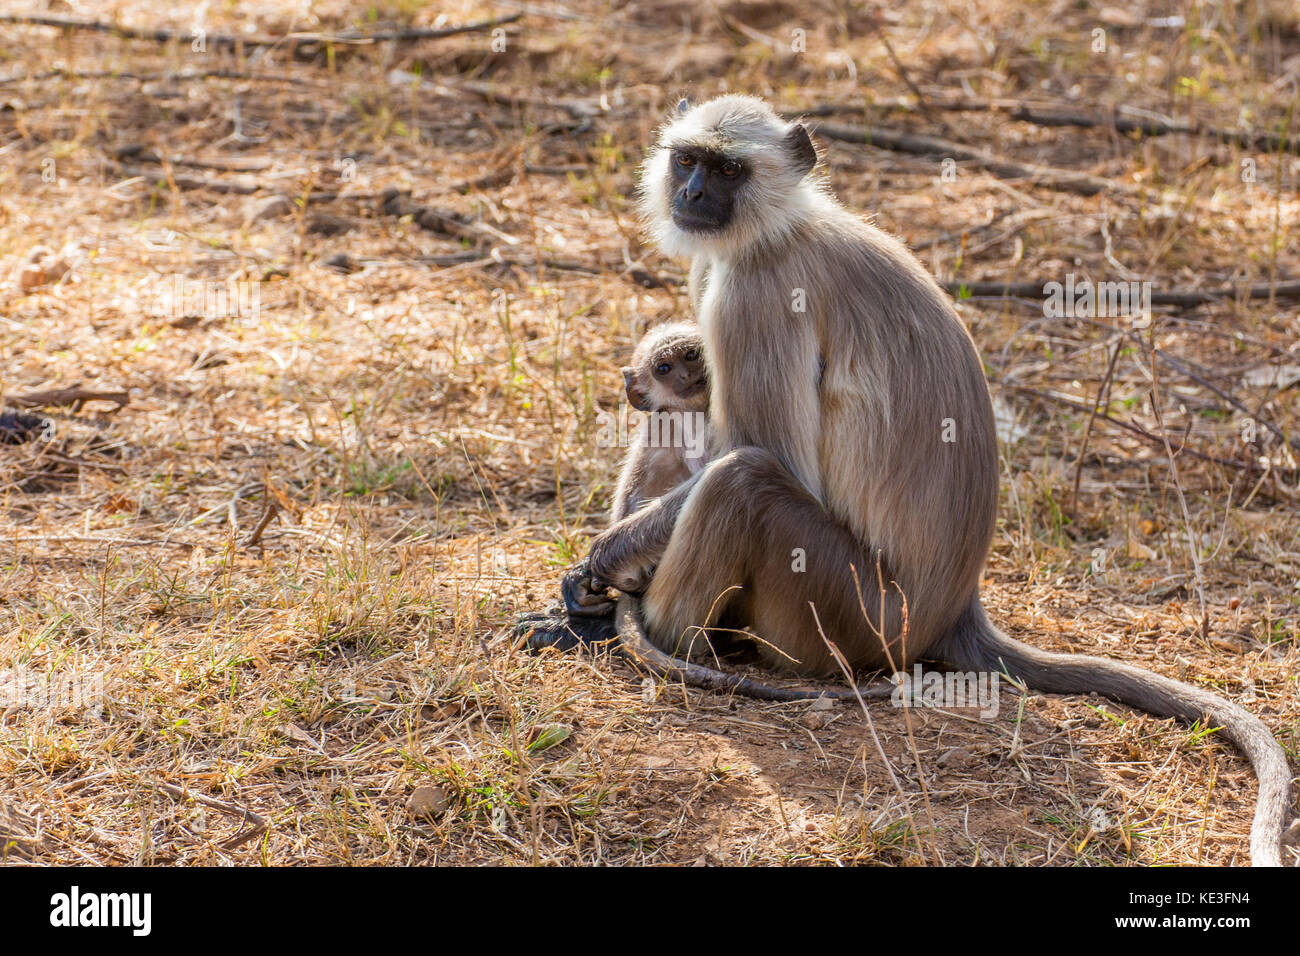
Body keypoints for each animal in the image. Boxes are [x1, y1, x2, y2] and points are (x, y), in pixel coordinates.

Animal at [522, 94, 1293, 865]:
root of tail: (953, 609)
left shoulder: (756, 293)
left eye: (728, 170)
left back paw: (648, 638)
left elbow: (758, 451)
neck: (780, 224)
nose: (689, 194)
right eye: (688, 160)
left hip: (850, 612)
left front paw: (603, 567)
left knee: (741, 479)